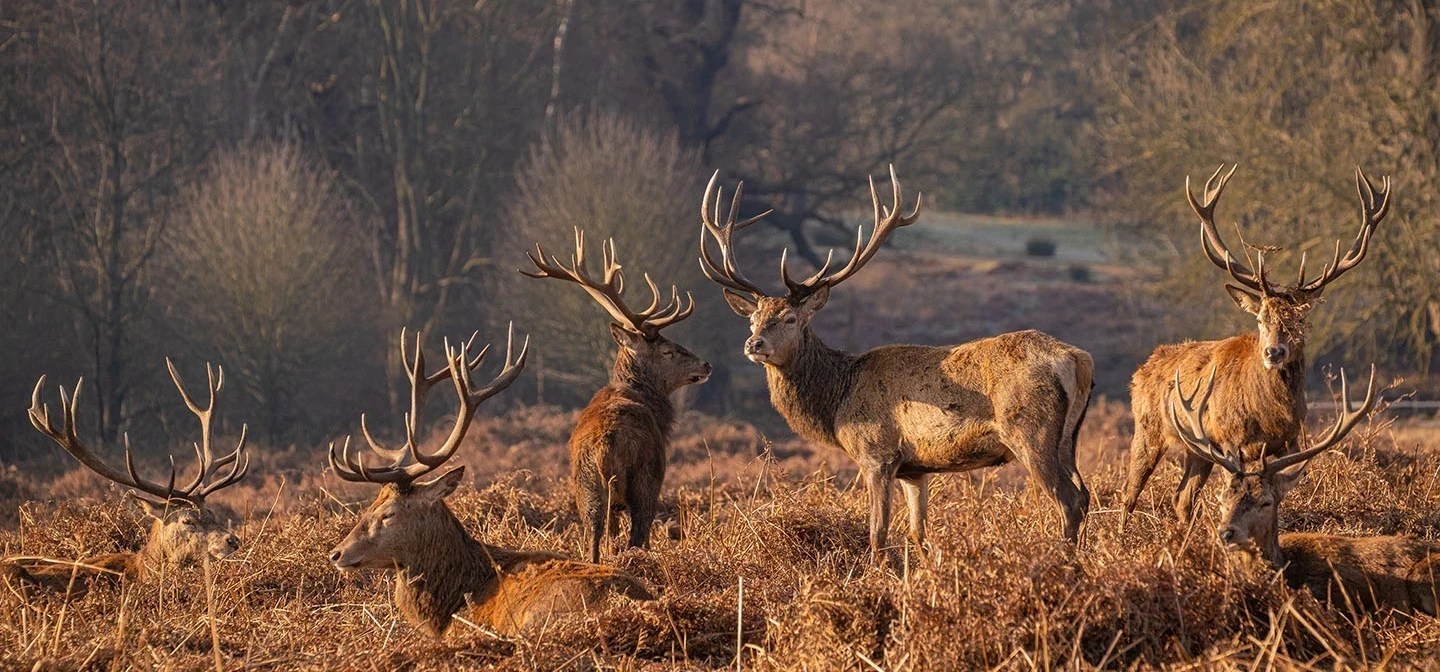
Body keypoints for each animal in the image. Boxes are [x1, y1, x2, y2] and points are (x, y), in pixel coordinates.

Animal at [519, 229, 711, 563]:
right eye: (669, 350)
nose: (706, 365)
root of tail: (604, 447)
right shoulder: (655, 476)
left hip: (586, 490)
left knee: (593, 542)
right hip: (643, 479)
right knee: (638, 537)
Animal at [699, 166, 1095, 559]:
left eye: (790, 319)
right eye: (753, 319)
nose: (754, 343)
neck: (838, 400)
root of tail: (1077, 359)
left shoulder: (877, 454)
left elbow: (878, 533)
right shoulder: (915, 470)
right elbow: (920, 534)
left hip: (1030, 430)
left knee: (1069, 500)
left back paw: (1064, 561)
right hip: (1068, 438)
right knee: (1084, 494)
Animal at [1121, 165, 1392, 528]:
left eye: (1299, 320)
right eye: (1262, 318)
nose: (1273, 352)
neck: (1269, 413)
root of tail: (1143, 368)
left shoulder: (1290, 440)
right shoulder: (1229, 439)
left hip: (1195, 448)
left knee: (1182, 497)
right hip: (1147, 427)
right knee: (1129, 492)